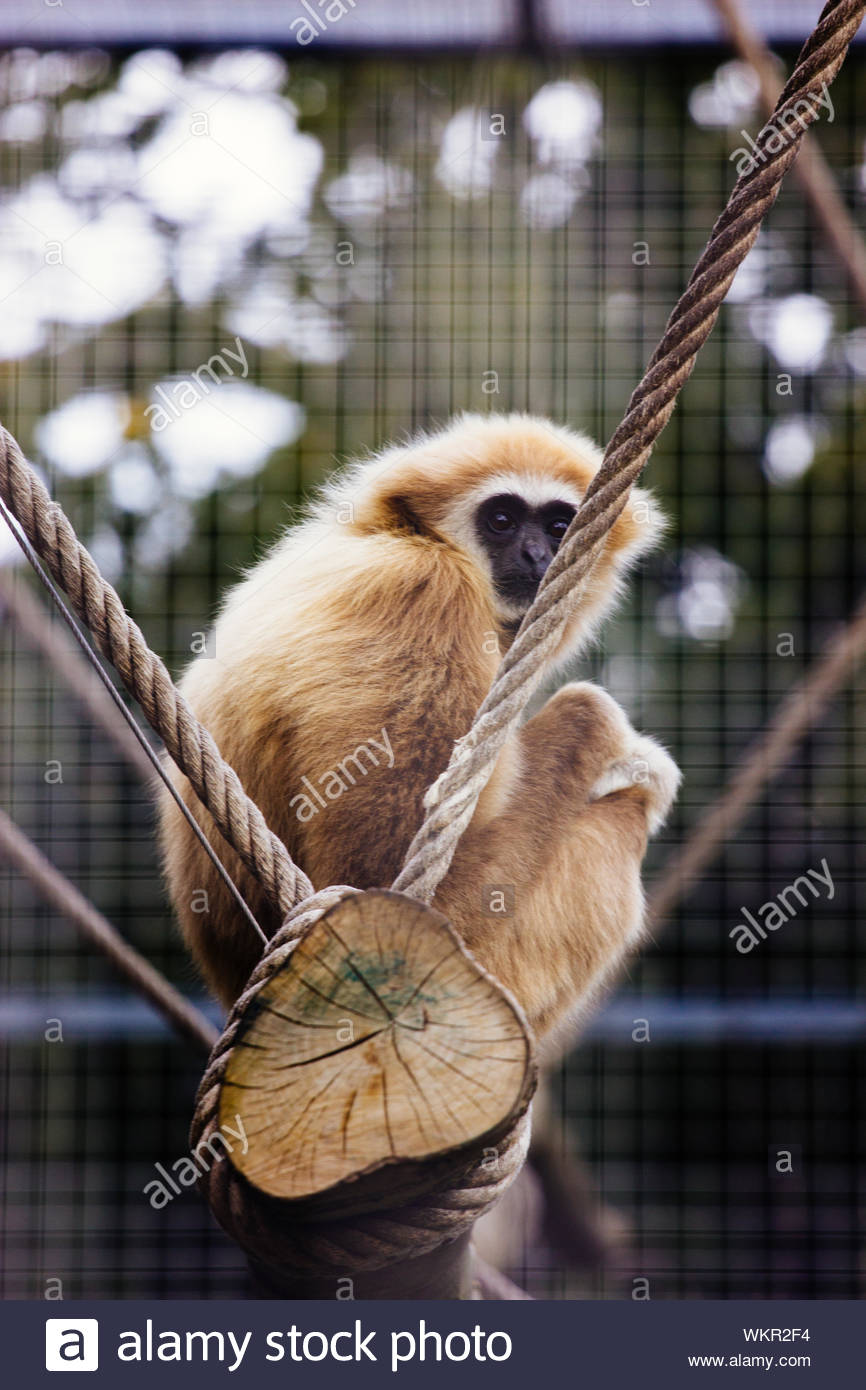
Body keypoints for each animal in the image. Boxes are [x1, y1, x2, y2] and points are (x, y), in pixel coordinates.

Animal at [159, 412, 680, 1058]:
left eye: (560, 524)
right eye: (502, 519)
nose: (538, 554)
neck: (405, 537)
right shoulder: (424, 595)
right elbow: (375, 883)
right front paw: (629, 753)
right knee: (613, 802)